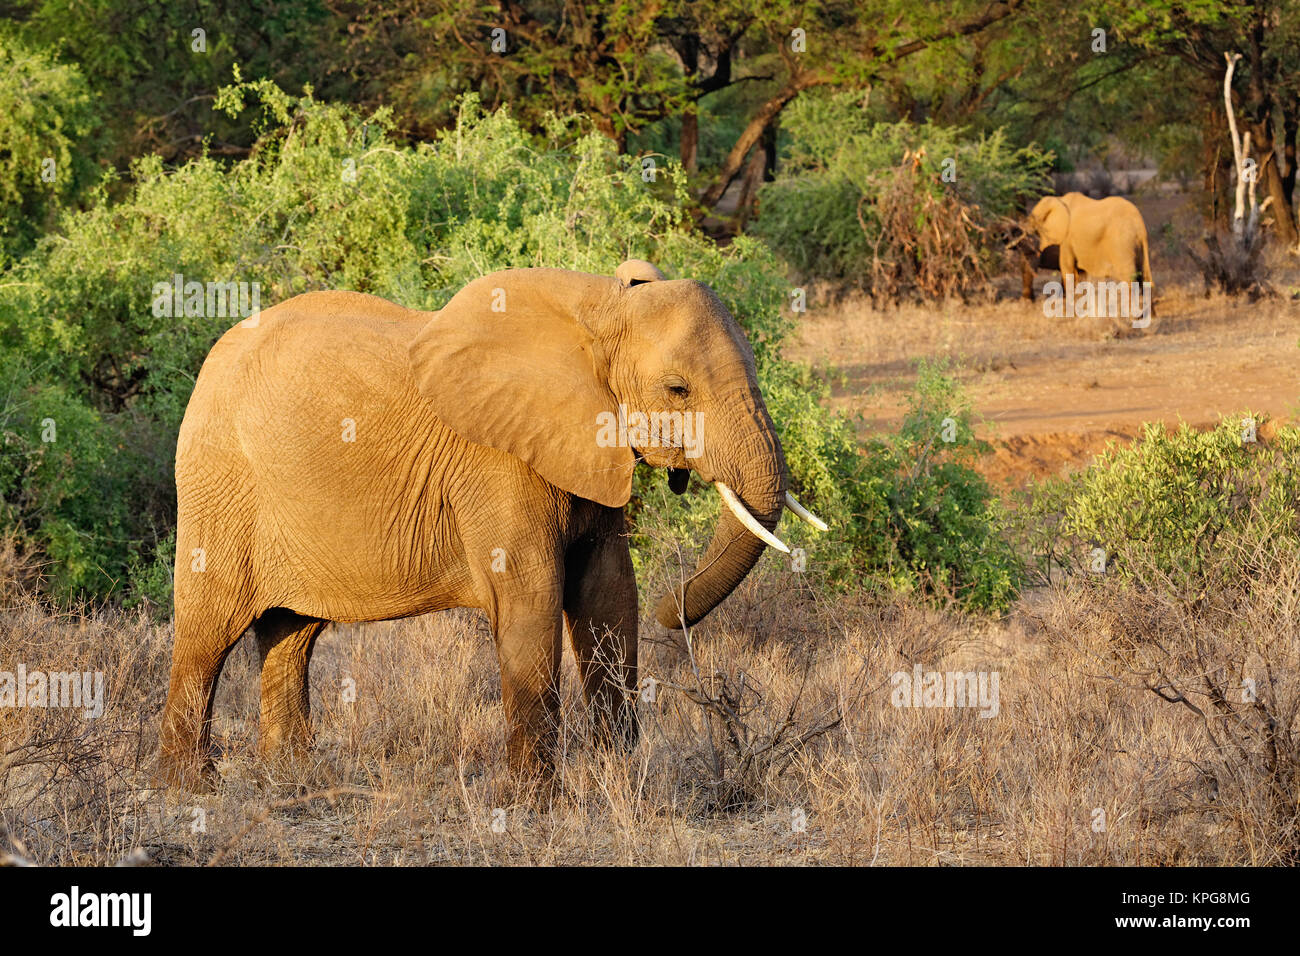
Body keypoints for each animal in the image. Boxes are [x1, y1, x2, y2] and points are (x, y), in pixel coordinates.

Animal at [157, 259, 826, 789]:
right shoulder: (499, 460)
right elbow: (532, 596)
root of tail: (212, 356)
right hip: (221, 484)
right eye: (677, 389)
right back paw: (191, 786)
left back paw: (292, 777)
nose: (676, 608)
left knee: (292, 632)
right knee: (208, 630)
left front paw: (621, 782)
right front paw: (538, 804)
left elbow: (609, 591)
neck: (598, 306)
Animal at [1022, 192, 1155, 326]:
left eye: (1034, 234)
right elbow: (1080, 275)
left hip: (1122, 244)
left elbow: (1067, 270)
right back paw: (1149, 317)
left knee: (1130, 278)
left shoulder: (1066, 242)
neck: (1058, 201)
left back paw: (1133, 318)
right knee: (1144, 277)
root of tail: (1140, 226)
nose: (1030, 303)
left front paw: (1069, 314)